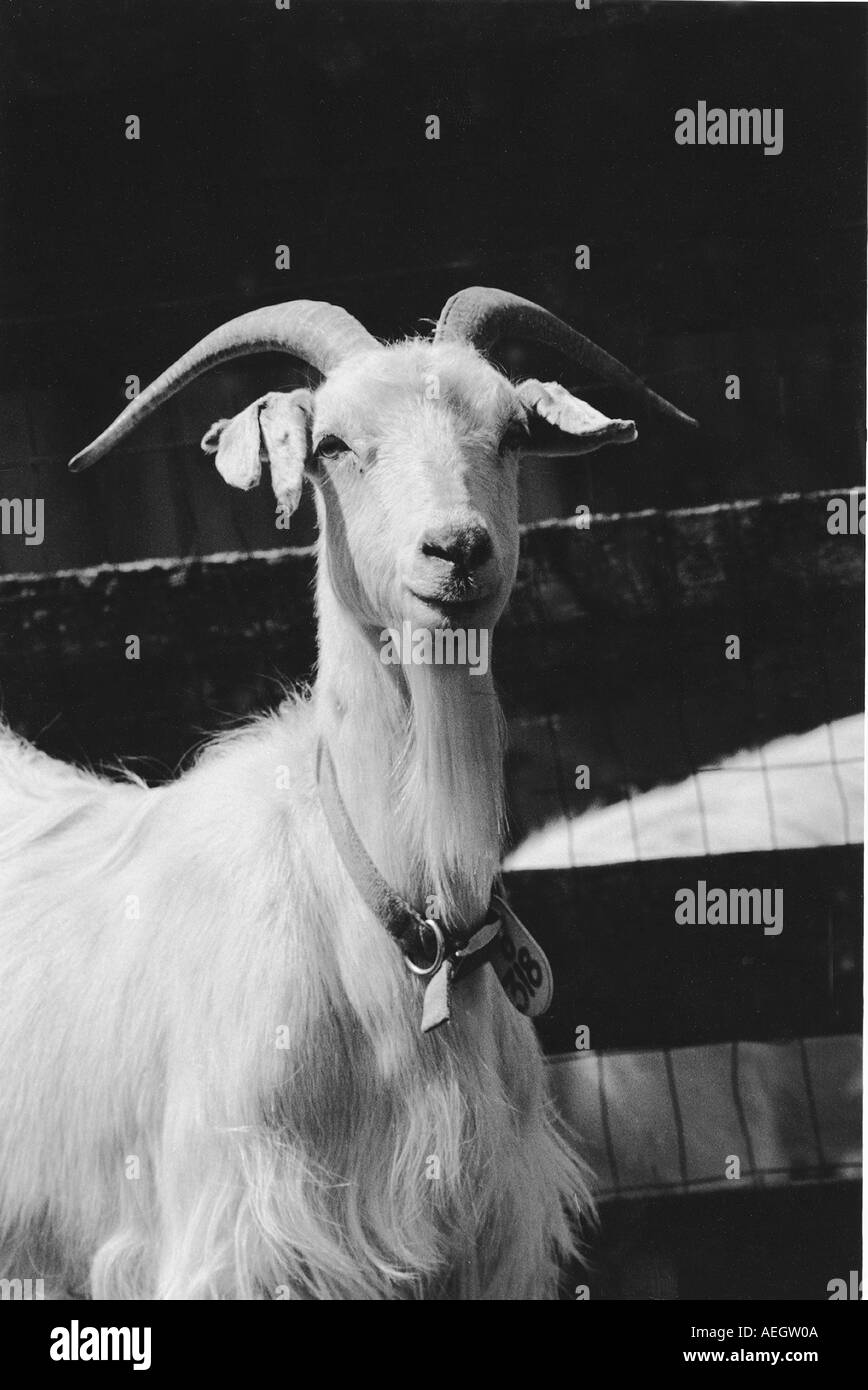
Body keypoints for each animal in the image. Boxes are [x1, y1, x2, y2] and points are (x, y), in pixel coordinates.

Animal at [0, 288, 695, 1299]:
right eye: (330, 442)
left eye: (514, 431)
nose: (456, 549)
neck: (399, 917)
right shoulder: (235, 1234)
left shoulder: (482, 1240)